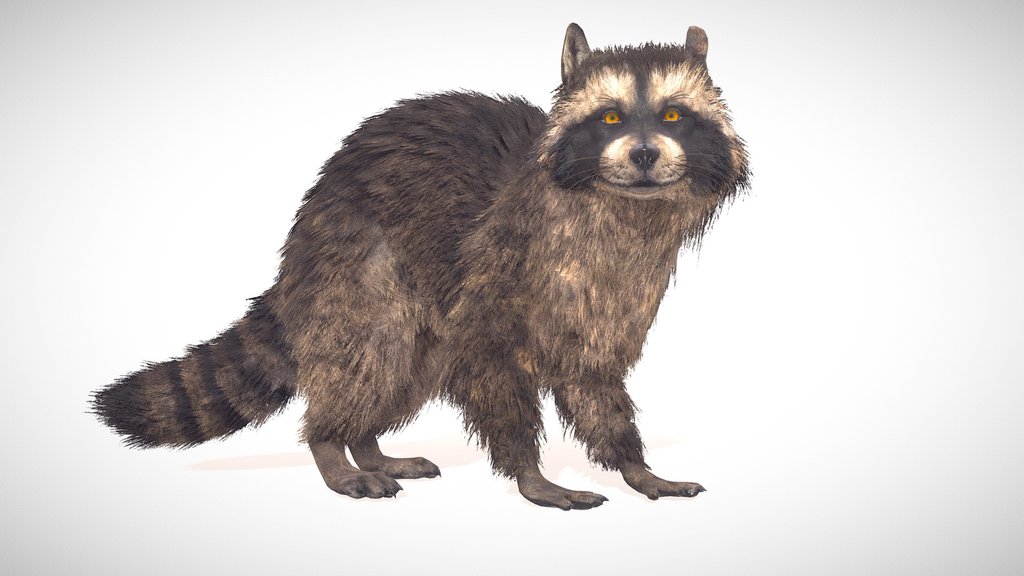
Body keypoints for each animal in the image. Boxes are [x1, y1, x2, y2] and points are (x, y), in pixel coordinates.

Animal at [92, 23, 749, 510]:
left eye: (673, 116)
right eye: (610, 117)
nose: (643, 155)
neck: (622, 211)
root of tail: (305, 227)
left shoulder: (613, 294)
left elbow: (593, 379)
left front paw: (634, 462)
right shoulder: (497, 269)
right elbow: (491, 369)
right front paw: (531, 473)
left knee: (407, 366)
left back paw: (366, 443)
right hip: (363, 264)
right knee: (369, 353)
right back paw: (332, 445)